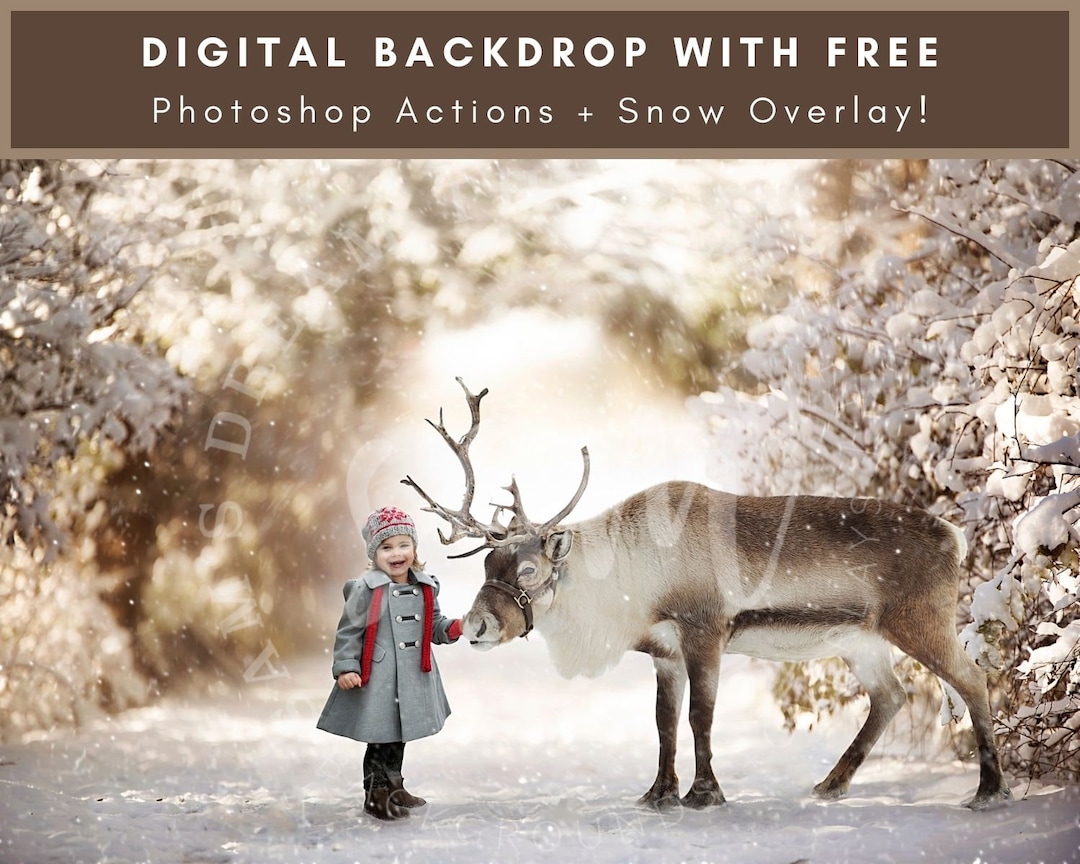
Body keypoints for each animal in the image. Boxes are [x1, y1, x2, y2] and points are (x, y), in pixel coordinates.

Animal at [402, 379, 1012, 811]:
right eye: (488, 562)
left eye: (528, 569)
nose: (476, 625)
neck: (628, 579)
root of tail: (954, 537)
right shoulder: (665, 650)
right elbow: (664, 723)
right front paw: (657, 794)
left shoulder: (705, 630)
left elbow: (701, 716)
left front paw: (704, 794)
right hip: (860, 641)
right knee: (890, 697)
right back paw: (829, 785)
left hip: (920, 621)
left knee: (973, 679)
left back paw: (988, 790)